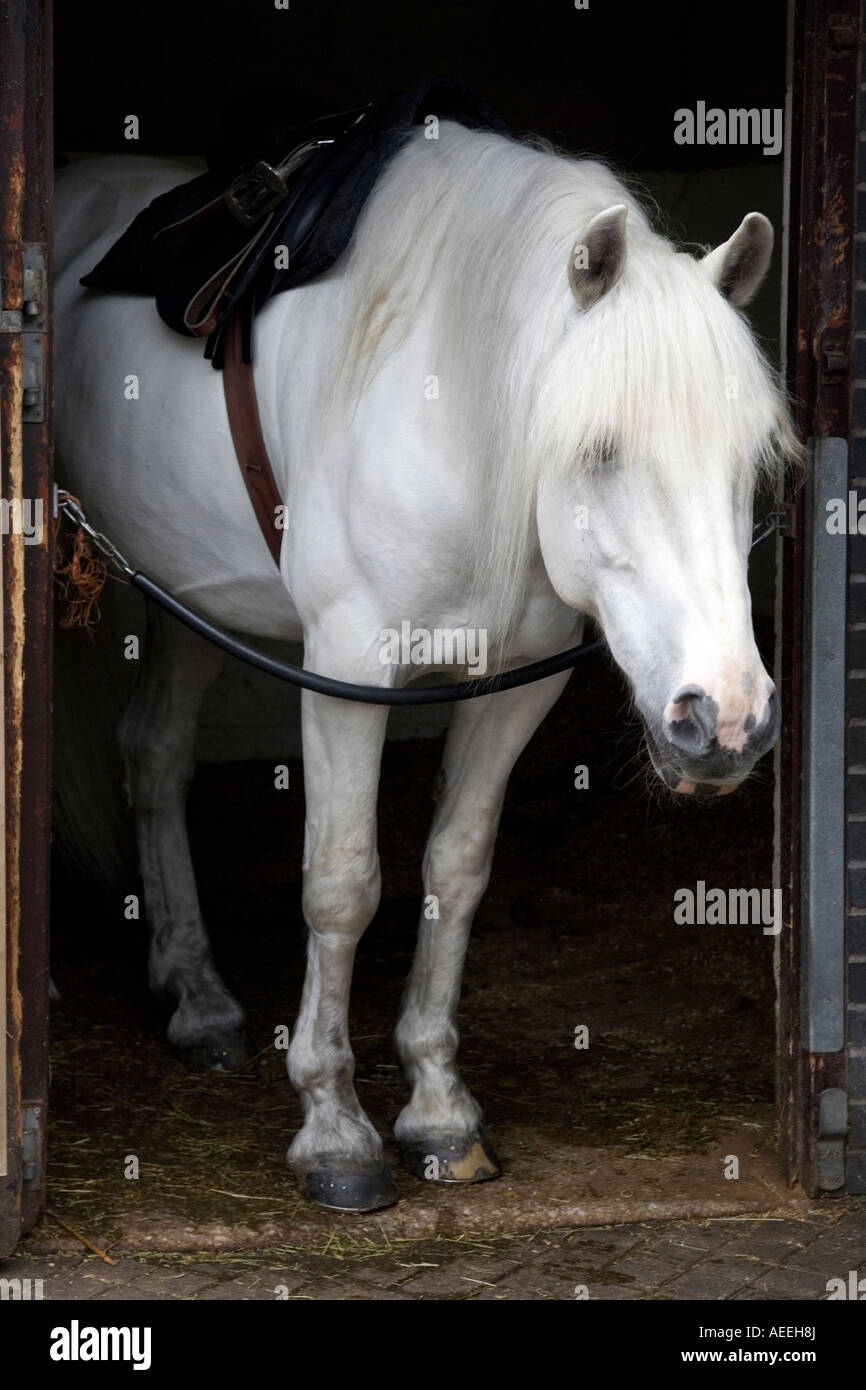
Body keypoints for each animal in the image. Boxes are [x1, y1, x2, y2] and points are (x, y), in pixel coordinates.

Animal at [52, 118, 799, 1212]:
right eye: (601, 451)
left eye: (752, 459)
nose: (726, 720)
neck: (453, 408)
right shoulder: (346, 670)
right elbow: (342, 884)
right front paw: (333, 1129)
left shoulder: (518, 684)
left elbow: (457, 868)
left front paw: (438, 1106)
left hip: (189, 594)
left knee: (153, 753)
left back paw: (194, 994)